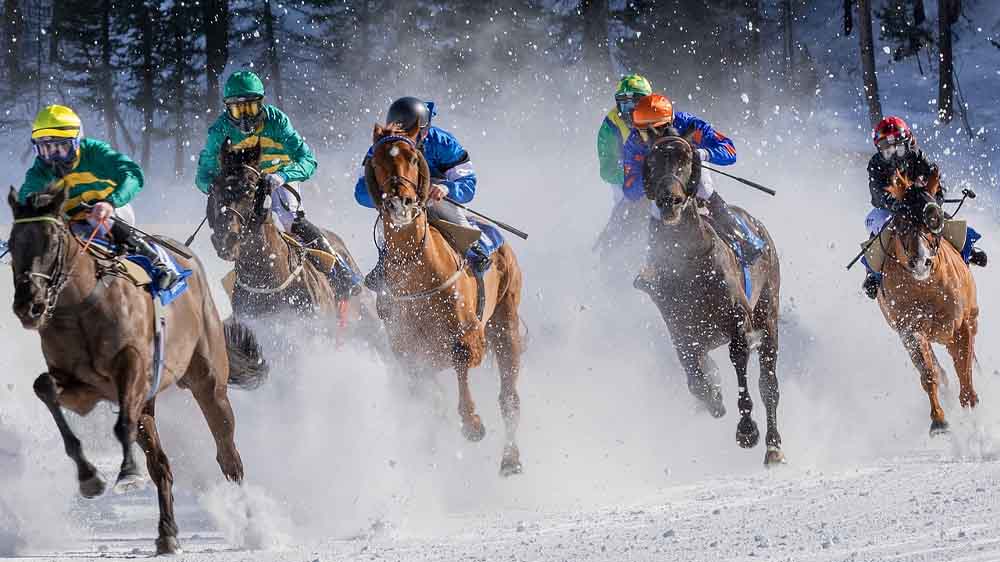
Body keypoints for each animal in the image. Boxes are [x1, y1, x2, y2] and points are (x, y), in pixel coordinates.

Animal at [6, 185, 268, 554]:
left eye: (52, 240)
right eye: (13, 242)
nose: (29, 305)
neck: (82, 305)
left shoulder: (132, 369)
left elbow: (123, 423)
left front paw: (128, 473)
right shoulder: (82, 388)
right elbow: (44, 387)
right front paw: (89, 477)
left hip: (209, 381)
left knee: (228, 455)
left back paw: (252, 524)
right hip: (150, 401)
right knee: (161, 465)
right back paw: (167, 533)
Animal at [365, 123, 525, 476]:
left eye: (413, 157)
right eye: (377, 160)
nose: (400, 203)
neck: (419, 273)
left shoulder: (471, 335)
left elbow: (462, 357)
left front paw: (473, 423)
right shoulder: (408, 352)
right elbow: (427, 396)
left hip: (505, 319)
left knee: (509, 396)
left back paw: (510, 459)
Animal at [635, 128, 784, 466]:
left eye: (687, 159)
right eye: (651, 161)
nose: (670, 200)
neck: (688, 266)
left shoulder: (738, 323)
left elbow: (741, 364)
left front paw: (747, 430)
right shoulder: (681, 331)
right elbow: (695, 378)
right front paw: (714, 397)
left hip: (768, 311)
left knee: (768, 384)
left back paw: (773, 446)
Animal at [875, 170, 979, 435]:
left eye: (934, 218)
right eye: (902, 221)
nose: (921, 262)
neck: (925, 288)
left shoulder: (961, 324)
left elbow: (964, 367)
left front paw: (971, 405)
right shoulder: (910, 330)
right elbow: (928, 372)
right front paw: (939, 420)